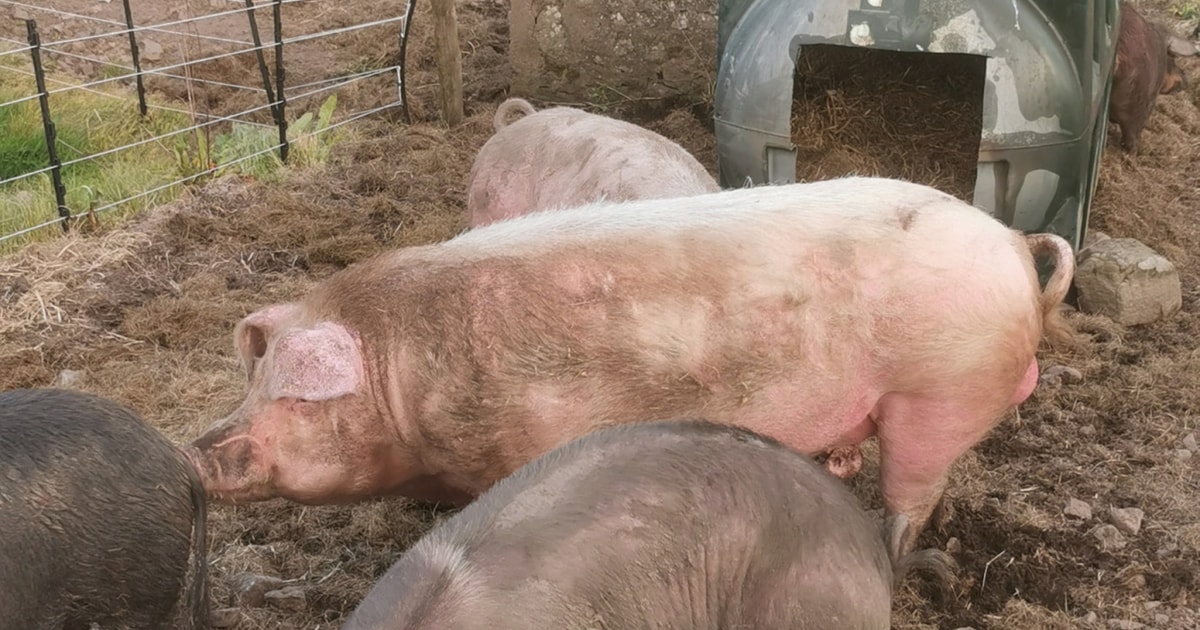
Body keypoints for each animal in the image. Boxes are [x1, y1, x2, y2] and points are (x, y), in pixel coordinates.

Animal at [186, 175, 1076, 564]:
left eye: (295, 399)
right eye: (251, 384)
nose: (195, 449)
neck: (406, 375)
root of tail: (1014, 249)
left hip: (939, 393)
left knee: (912, 497)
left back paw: (897, 551)